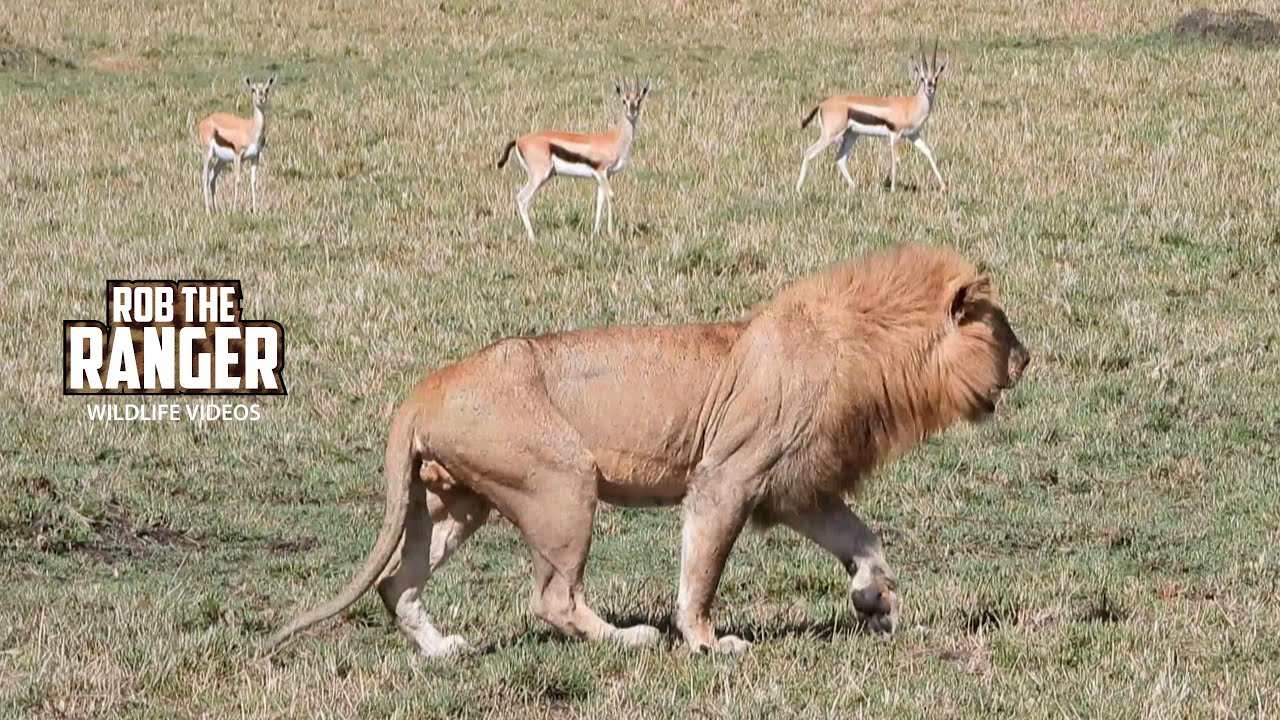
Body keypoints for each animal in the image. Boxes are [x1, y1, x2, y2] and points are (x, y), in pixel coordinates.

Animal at [263, 243, 1029, 658]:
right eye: (1000, 328)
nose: (1027, 360)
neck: (873, 350)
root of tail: (420, 392)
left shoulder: (795, 489)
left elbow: (863, 541)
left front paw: (877, 604)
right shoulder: (727, 478)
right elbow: (701, 572)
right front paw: (708, 642)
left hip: (456, 503)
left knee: (397, 582)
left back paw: (443, 650)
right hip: (562, 485)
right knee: (552, 598)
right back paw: (629, 637)